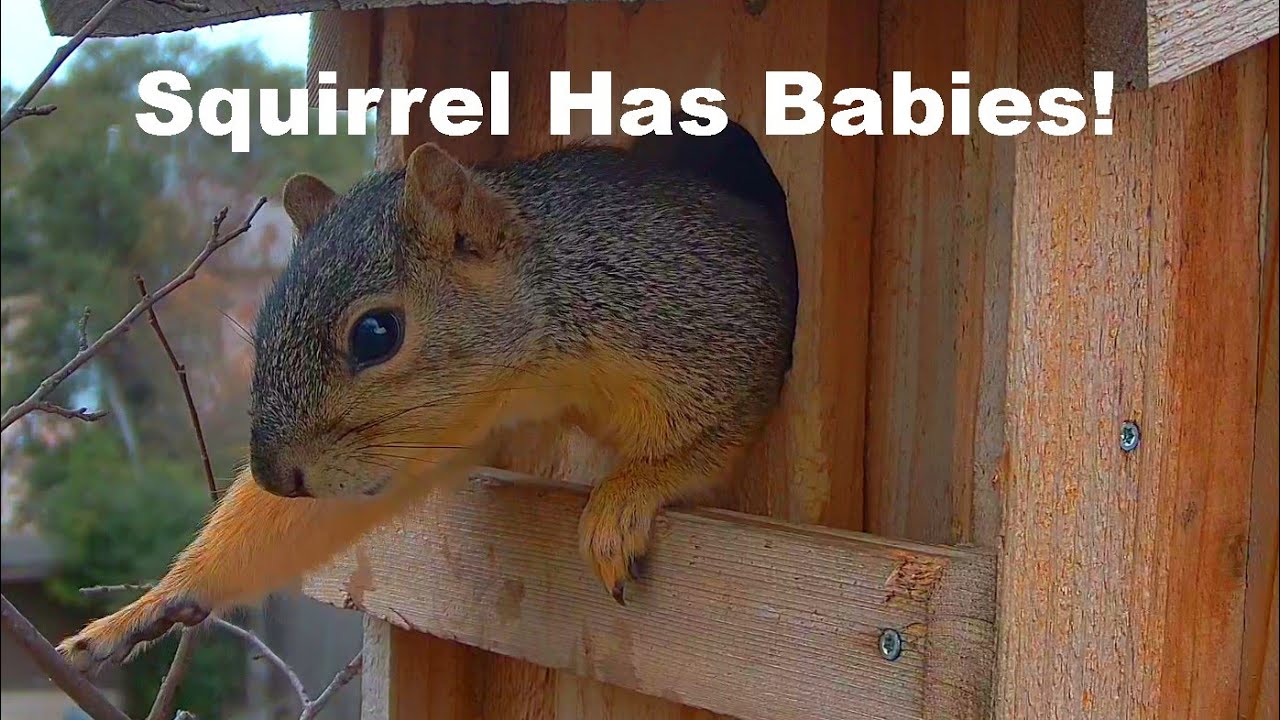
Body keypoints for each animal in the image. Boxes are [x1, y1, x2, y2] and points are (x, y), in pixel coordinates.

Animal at [57, 117, 798, 671]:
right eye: (263, 323)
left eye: (376, 334)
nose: (275, 475)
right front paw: (145, 607)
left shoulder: (720, 335)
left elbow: (713, 439)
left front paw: (627, 497)